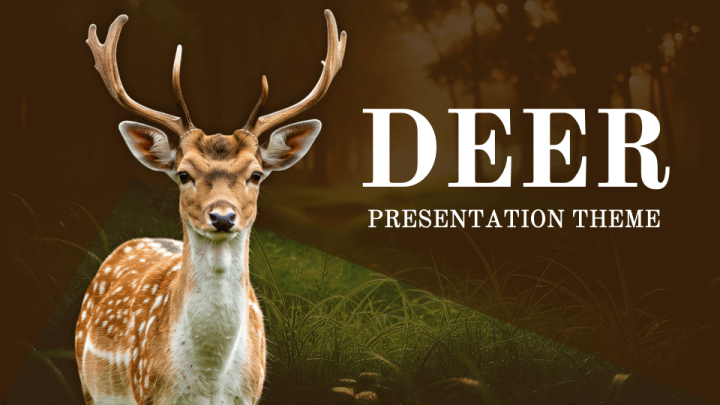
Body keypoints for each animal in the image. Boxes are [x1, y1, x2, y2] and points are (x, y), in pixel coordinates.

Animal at [75, 11, 346, 405]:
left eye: (256, 174)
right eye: (183, 174)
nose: (222, 216)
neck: (209, 383)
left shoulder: (251, 393)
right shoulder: (147, 391)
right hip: (89, 383)